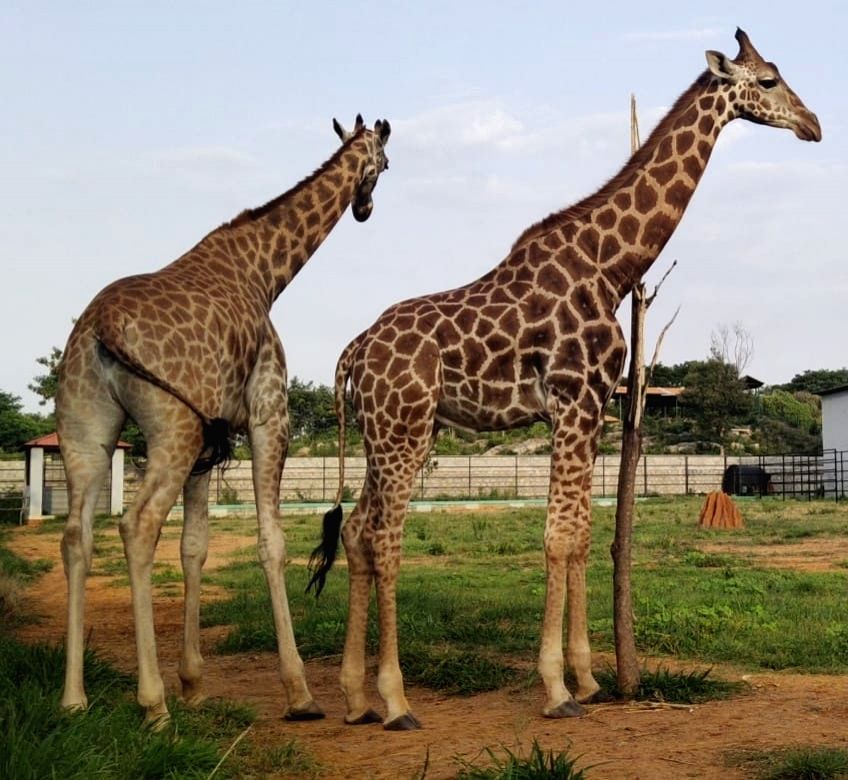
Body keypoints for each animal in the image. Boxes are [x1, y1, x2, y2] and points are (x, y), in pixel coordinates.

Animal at [56, 114, 391, 728]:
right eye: (384, 163)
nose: (365, 208)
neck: (265, 272)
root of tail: (99, 329)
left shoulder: (210, 439)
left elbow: (195, 546)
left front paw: (194, 683)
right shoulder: (267, 413)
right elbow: (270, 541)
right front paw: (299, 692)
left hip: (87, 428)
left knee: (76, 536)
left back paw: (74, 700)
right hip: (171, 429)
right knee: (136, 525)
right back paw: (152, 704)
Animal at [307, 29, 820, 730]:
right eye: (768, 80)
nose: (813, 125)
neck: (608, 268)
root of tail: (354, 352)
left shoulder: (593, 407)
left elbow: (580, 535)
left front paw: (590, 678)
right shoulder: (573, 403)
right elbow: (556, 537)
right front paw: (555, 688)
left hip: (384, 431)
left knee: (357, 532)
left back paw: (356, 699)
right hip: (403, 430)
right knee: (385, 538)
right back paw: (394, 701)